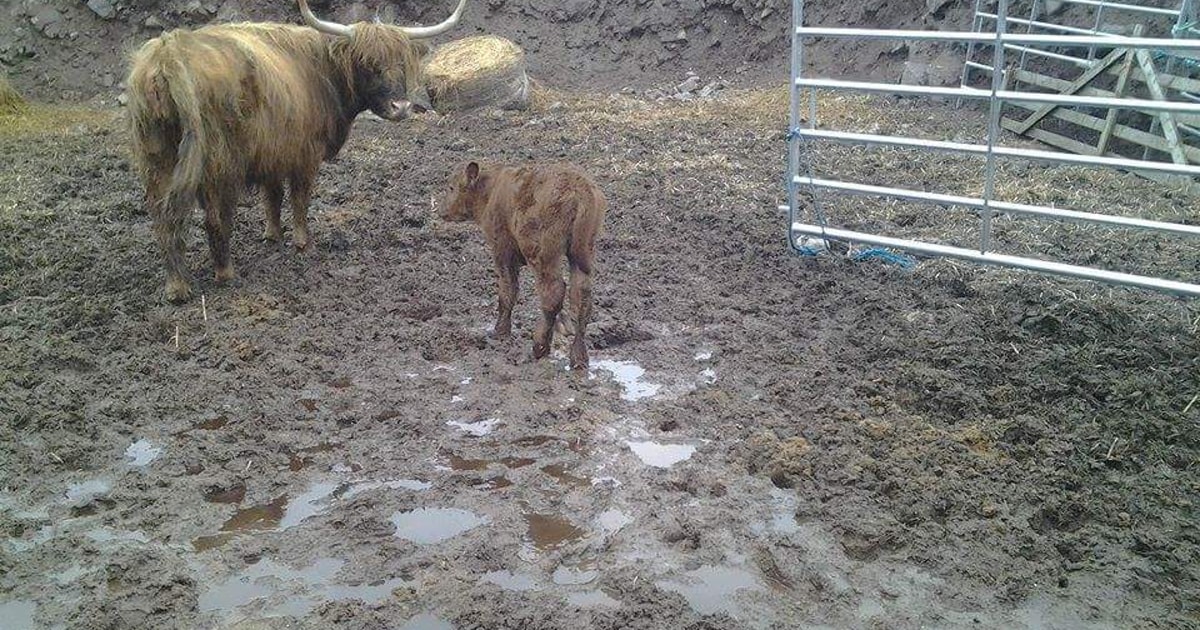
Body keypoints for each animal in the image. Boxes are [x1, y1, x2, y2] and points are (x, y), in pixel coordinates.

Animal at [127, 0, 467, 303]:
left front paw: (272, 235)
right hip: (219, 163)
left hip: (156, 159)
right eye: (367, 63)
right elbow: (300, 198)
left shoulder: (275, 152)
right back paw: (225, 274)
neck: (322, 72)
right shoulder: (305, 153)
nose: (401, 107)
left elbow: (273, 197)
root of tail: (169, 52)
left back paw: (177, 287)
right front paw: (302, 243)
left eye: (402, 63)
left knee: (163, 220)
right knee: (214, 218)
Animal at [438, 161, 607, 371]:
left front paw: (500, 332)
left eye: (451, 188)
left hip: (542, 253)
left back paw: (540, 346)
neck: (490, 190)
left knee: (553, 292)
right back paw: (578, 357)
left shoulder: (502, 249)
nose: (441, 210)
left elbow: (508, 290)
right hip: (582, 253)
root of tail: (580, 190)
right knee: (581, 296)